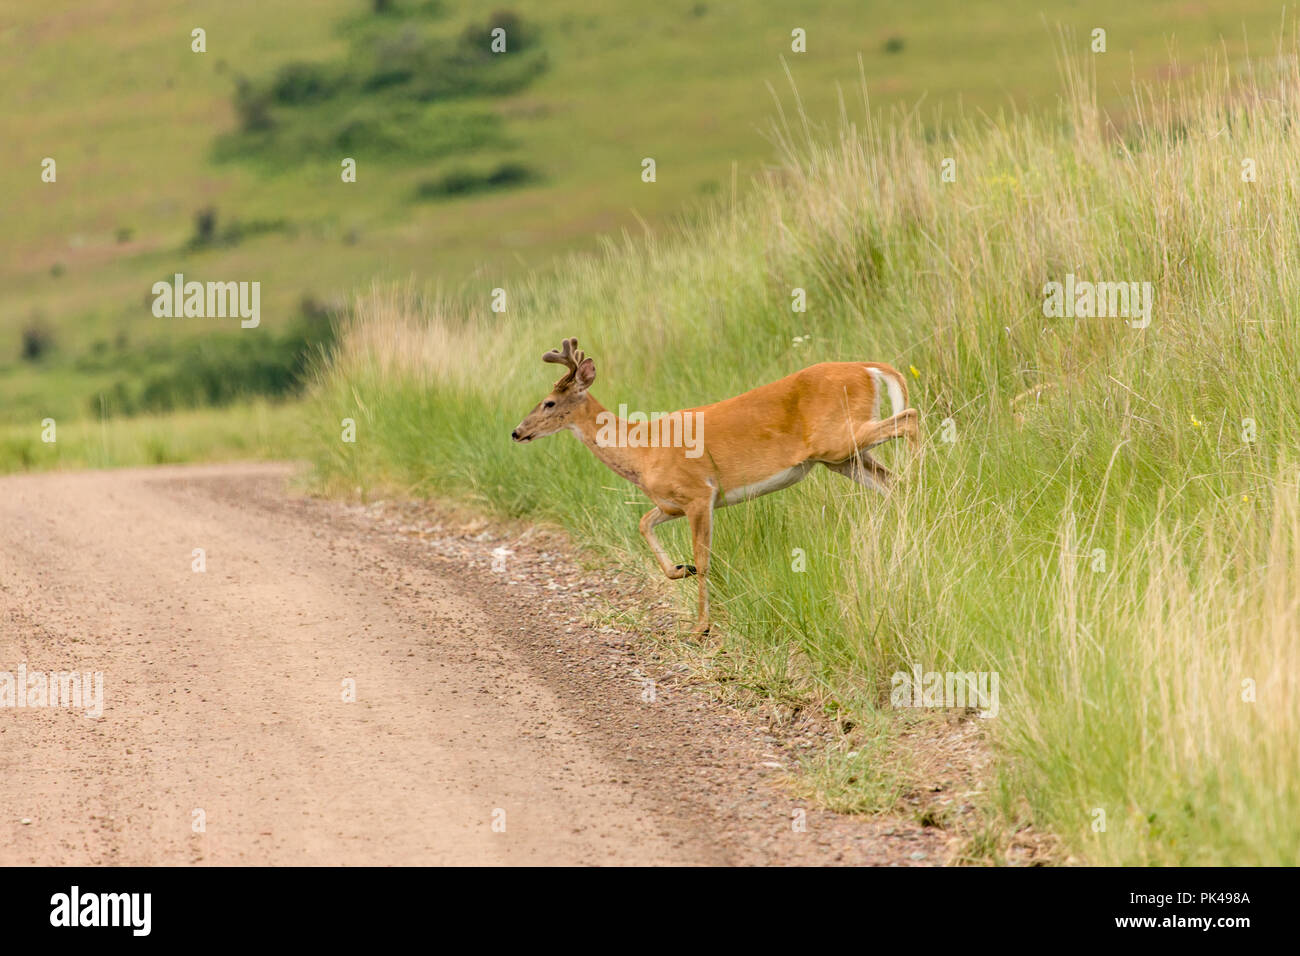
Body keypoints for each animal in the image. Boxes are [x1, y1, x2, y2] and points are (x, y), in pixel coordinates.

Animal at [511, 338, 919, 637]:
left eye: (549, 402)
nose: (517, 431)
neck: (642, 449)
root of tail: (869, 368)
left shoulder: (698, 493)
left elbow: (706, 559)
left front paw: (700, 627)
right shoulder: (672, 503)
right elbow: (644, 524)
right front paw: (680, 569)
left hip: (837, 440)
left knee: (910, 419)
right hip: (841, 458)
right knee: (892, 481)